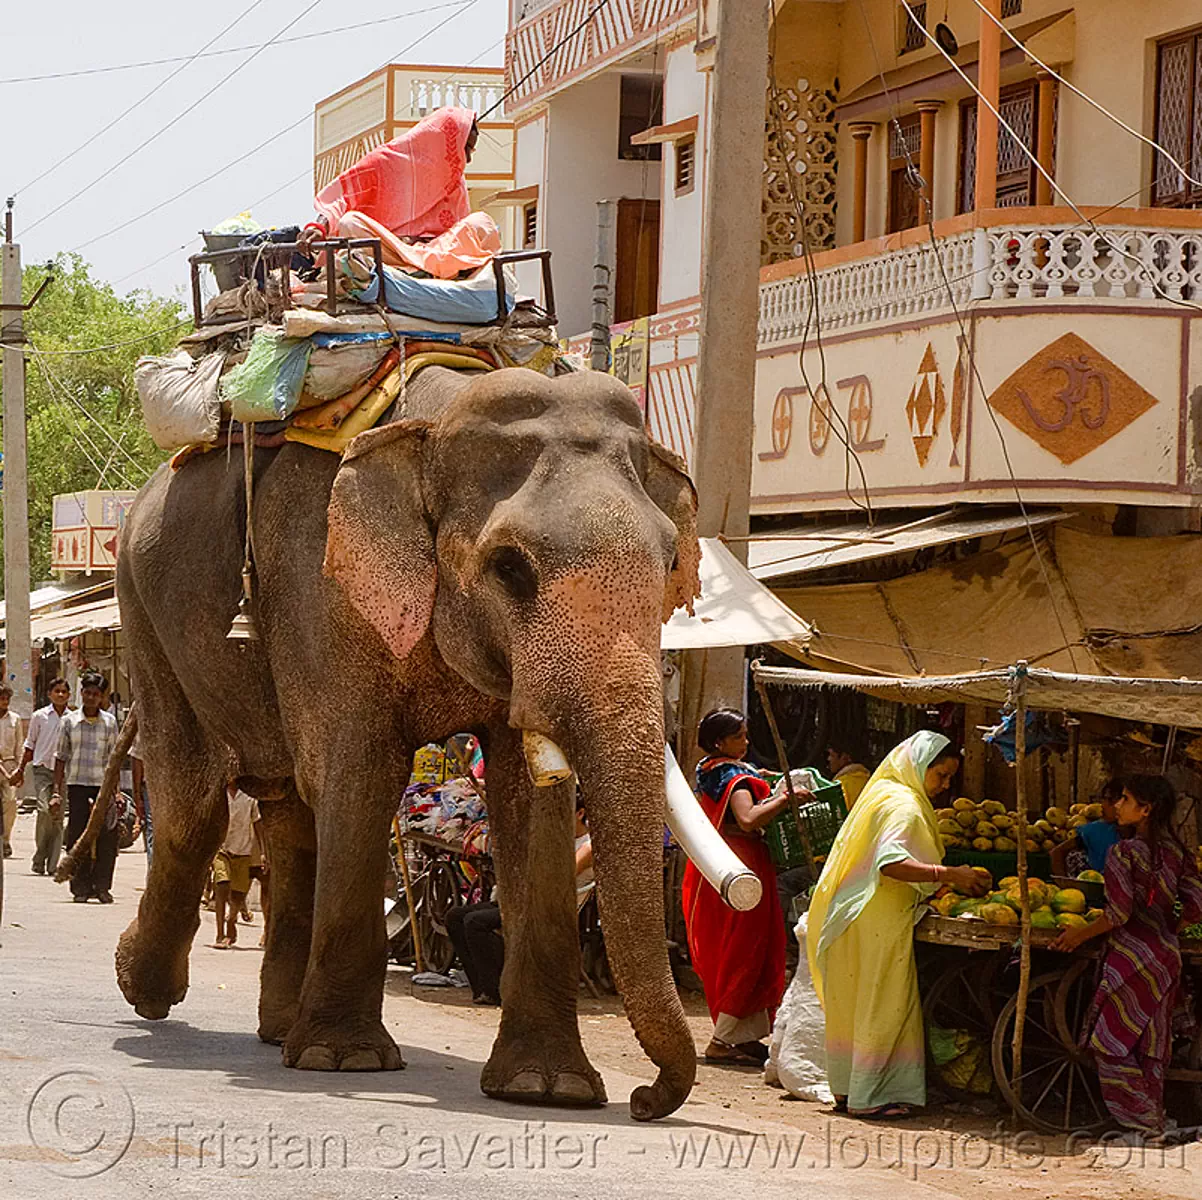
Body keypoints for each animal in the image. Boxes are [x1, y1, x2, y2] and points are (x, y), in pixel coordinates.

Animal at [114, 364, 704, 1120]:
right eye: (510, 567)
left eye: (670, 562)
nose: (643, 1099)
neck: (436, 419)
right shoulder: (322, 588)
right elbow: (360, 770)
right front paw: (344, 1061)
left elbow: (531, 799)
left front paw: (550, 1089)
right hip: (142, 605)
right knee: (195, 807)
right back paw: (146, 991)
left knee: (289, 814)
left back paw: (278, 1029)